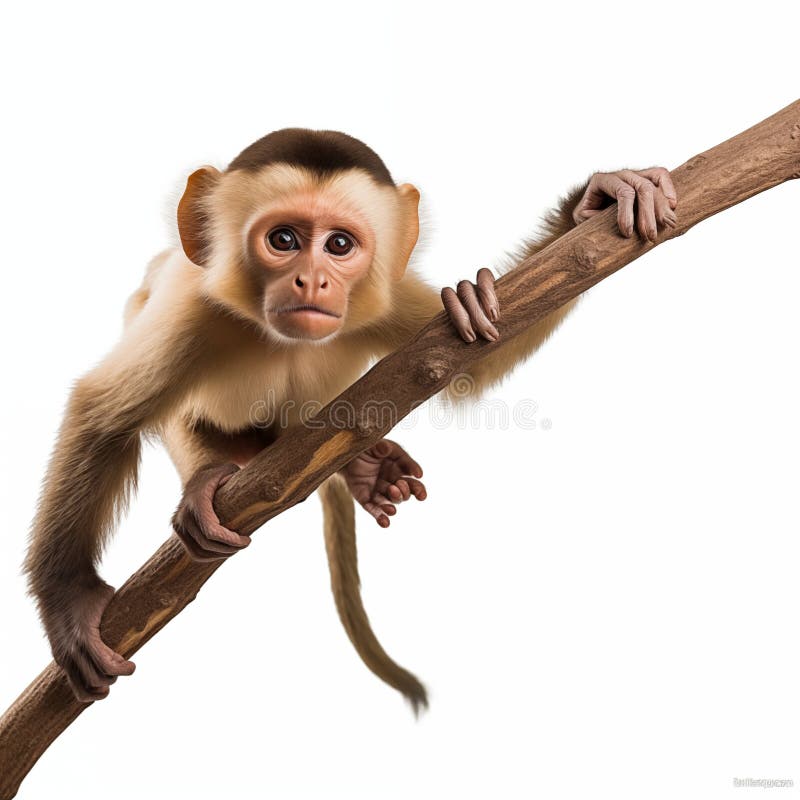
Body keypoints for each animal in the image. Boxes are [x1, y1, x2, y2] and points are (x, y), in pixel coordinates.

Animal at [24, 128, 678, 710]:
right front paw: (72, 603)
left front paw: (592, 203)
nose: (311, 280)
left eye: (340, 246)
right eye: (283, 239)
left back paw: (364, 470)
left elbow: (479, 352)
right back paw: (215, 482)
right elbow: (101, 415)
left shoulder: (384, 293)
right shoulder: (194, 310)